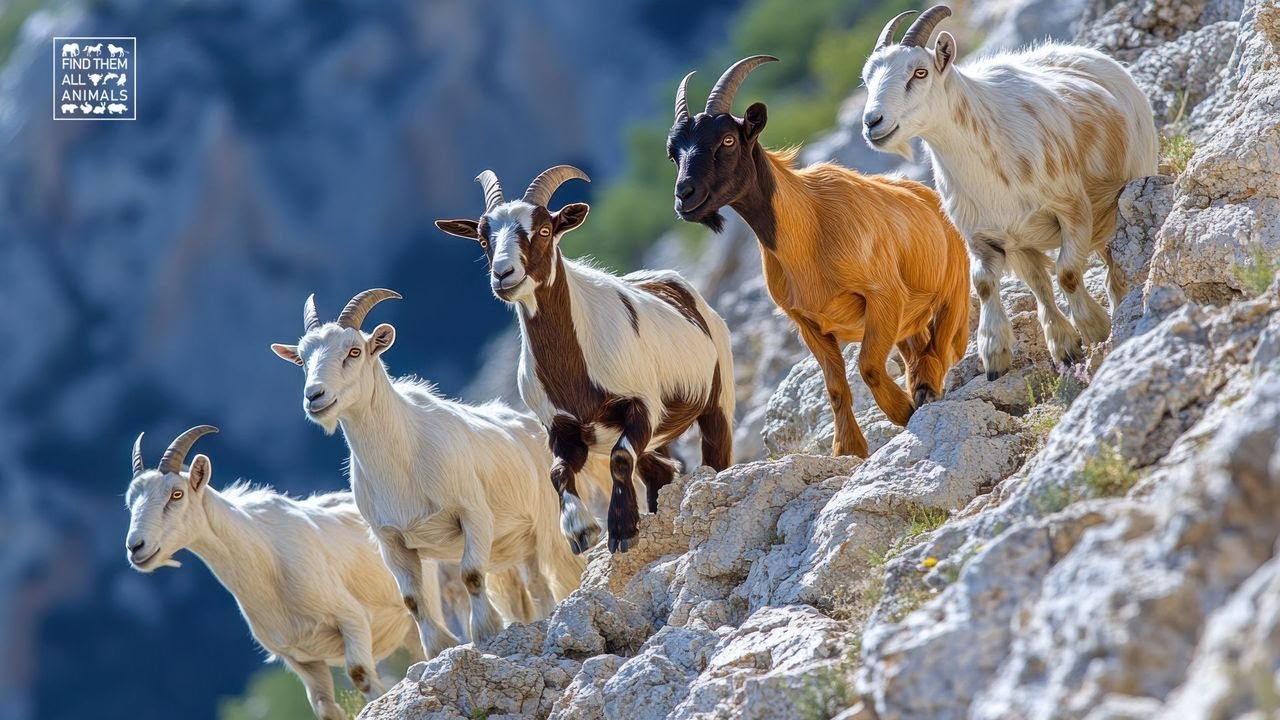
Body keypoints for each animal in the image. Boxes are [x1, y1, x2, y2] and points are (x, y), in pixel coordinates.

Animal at [124, 426, 429, 720]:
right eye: (130, 501)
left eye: (177, 494)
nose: (136, 547)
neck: (267, 564)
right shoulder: (298, 656)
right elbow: (324, 706)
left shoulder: (351, 619)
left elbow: (362, 676)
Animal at [270, 290, 583, 646]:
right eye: (303, 359)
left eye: (354, 351)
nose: (315, 396)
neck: (403, 459)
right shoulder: (391, 540)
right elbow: (413, 600)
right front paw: (438, 646)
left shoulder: (473, 514)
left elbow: (471, 575)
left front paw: (485, 632)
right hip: (515, 544)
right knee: (535, 584)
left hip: (547, 525)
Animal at [436, 166, 736, 553]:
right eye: (483, 240)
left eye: (544, 230)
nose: (503, 275)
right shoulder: (560, 427)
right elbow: (557, 472)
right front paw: (580, 530)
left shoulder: (642, 406)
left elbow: (620, 458)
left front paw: (621, 531)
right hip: (661, 435)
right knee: (660, 472)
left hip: (717, 399)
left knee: (715, 453)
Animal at [667, 56, 970, 458]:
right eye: (673, 152)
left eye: (728, 139)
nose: (685, 195)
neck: (808, 231)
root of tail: (931, 198)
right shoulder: (808, 323)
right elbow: (836, 386)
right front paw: (848, 448)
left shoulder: (883, 296)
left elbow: (868, 366)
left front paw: (903, 410)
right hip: (910, 319)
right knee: (918, 348)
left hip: (953, 291)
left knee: (947, 343)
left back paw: (928, 385)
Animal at [861, 6, 1158, 378]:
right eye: (866, 79)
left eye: (920, 72)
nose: (872, 122)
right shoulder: (986, 237)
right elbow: (990, 285)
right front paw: (999, 354)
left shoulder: (1072, 209)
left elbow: (1068, 273)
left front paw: (1096, 329)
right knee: (1043, 282)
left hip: (1123, 194)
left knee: (1112, 260)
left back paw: (1119, 309)